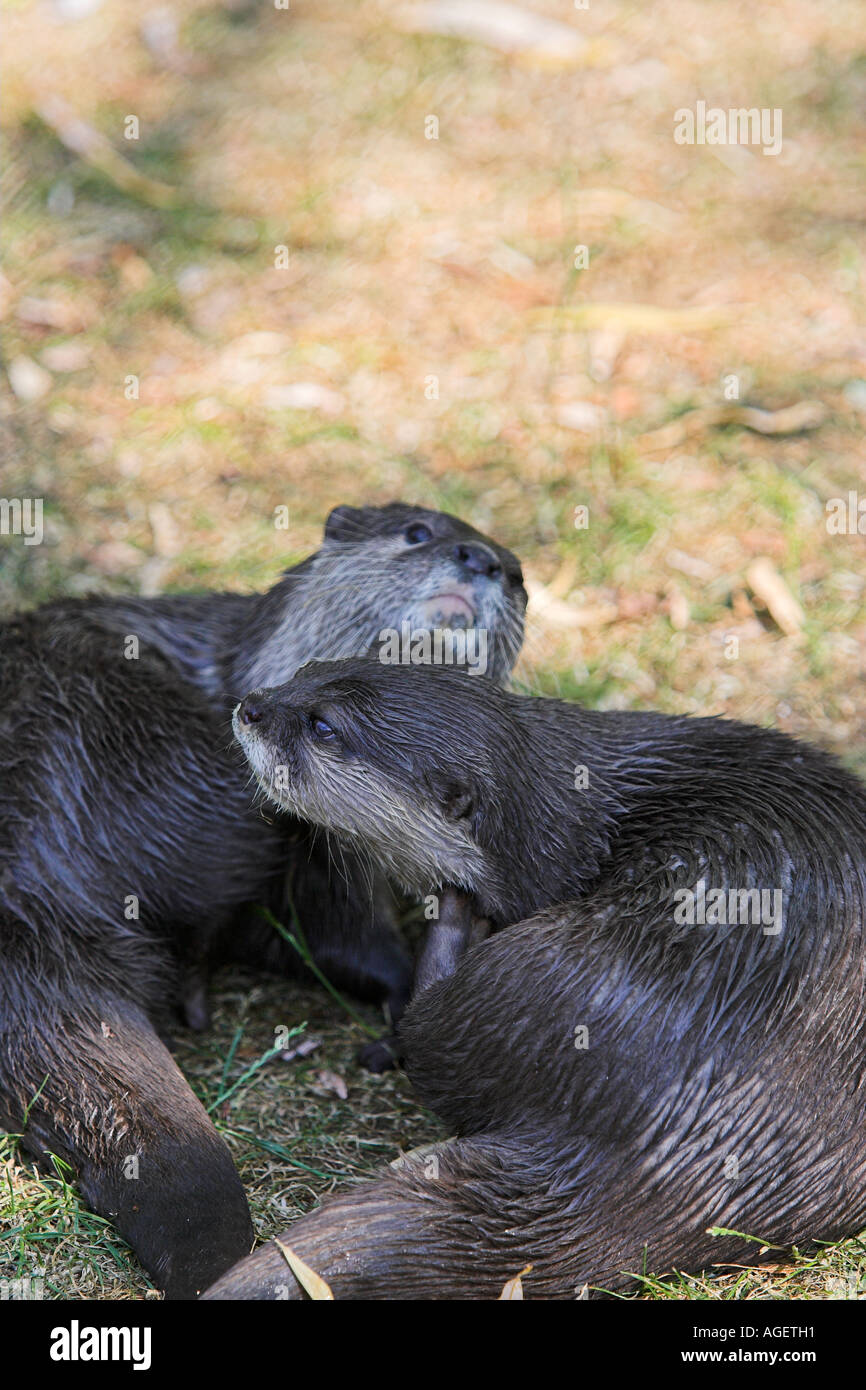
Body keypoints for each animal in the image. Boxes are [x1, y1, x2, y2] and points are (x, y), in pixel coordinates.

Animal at [205, 658, 866, 1298]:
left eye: (322, 725)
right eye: (305, 671)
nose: (251, 705)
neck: (565, 833)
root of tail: (677, 1131)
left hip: (524, 969)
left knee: (434, 1033)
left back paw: (450, 926)